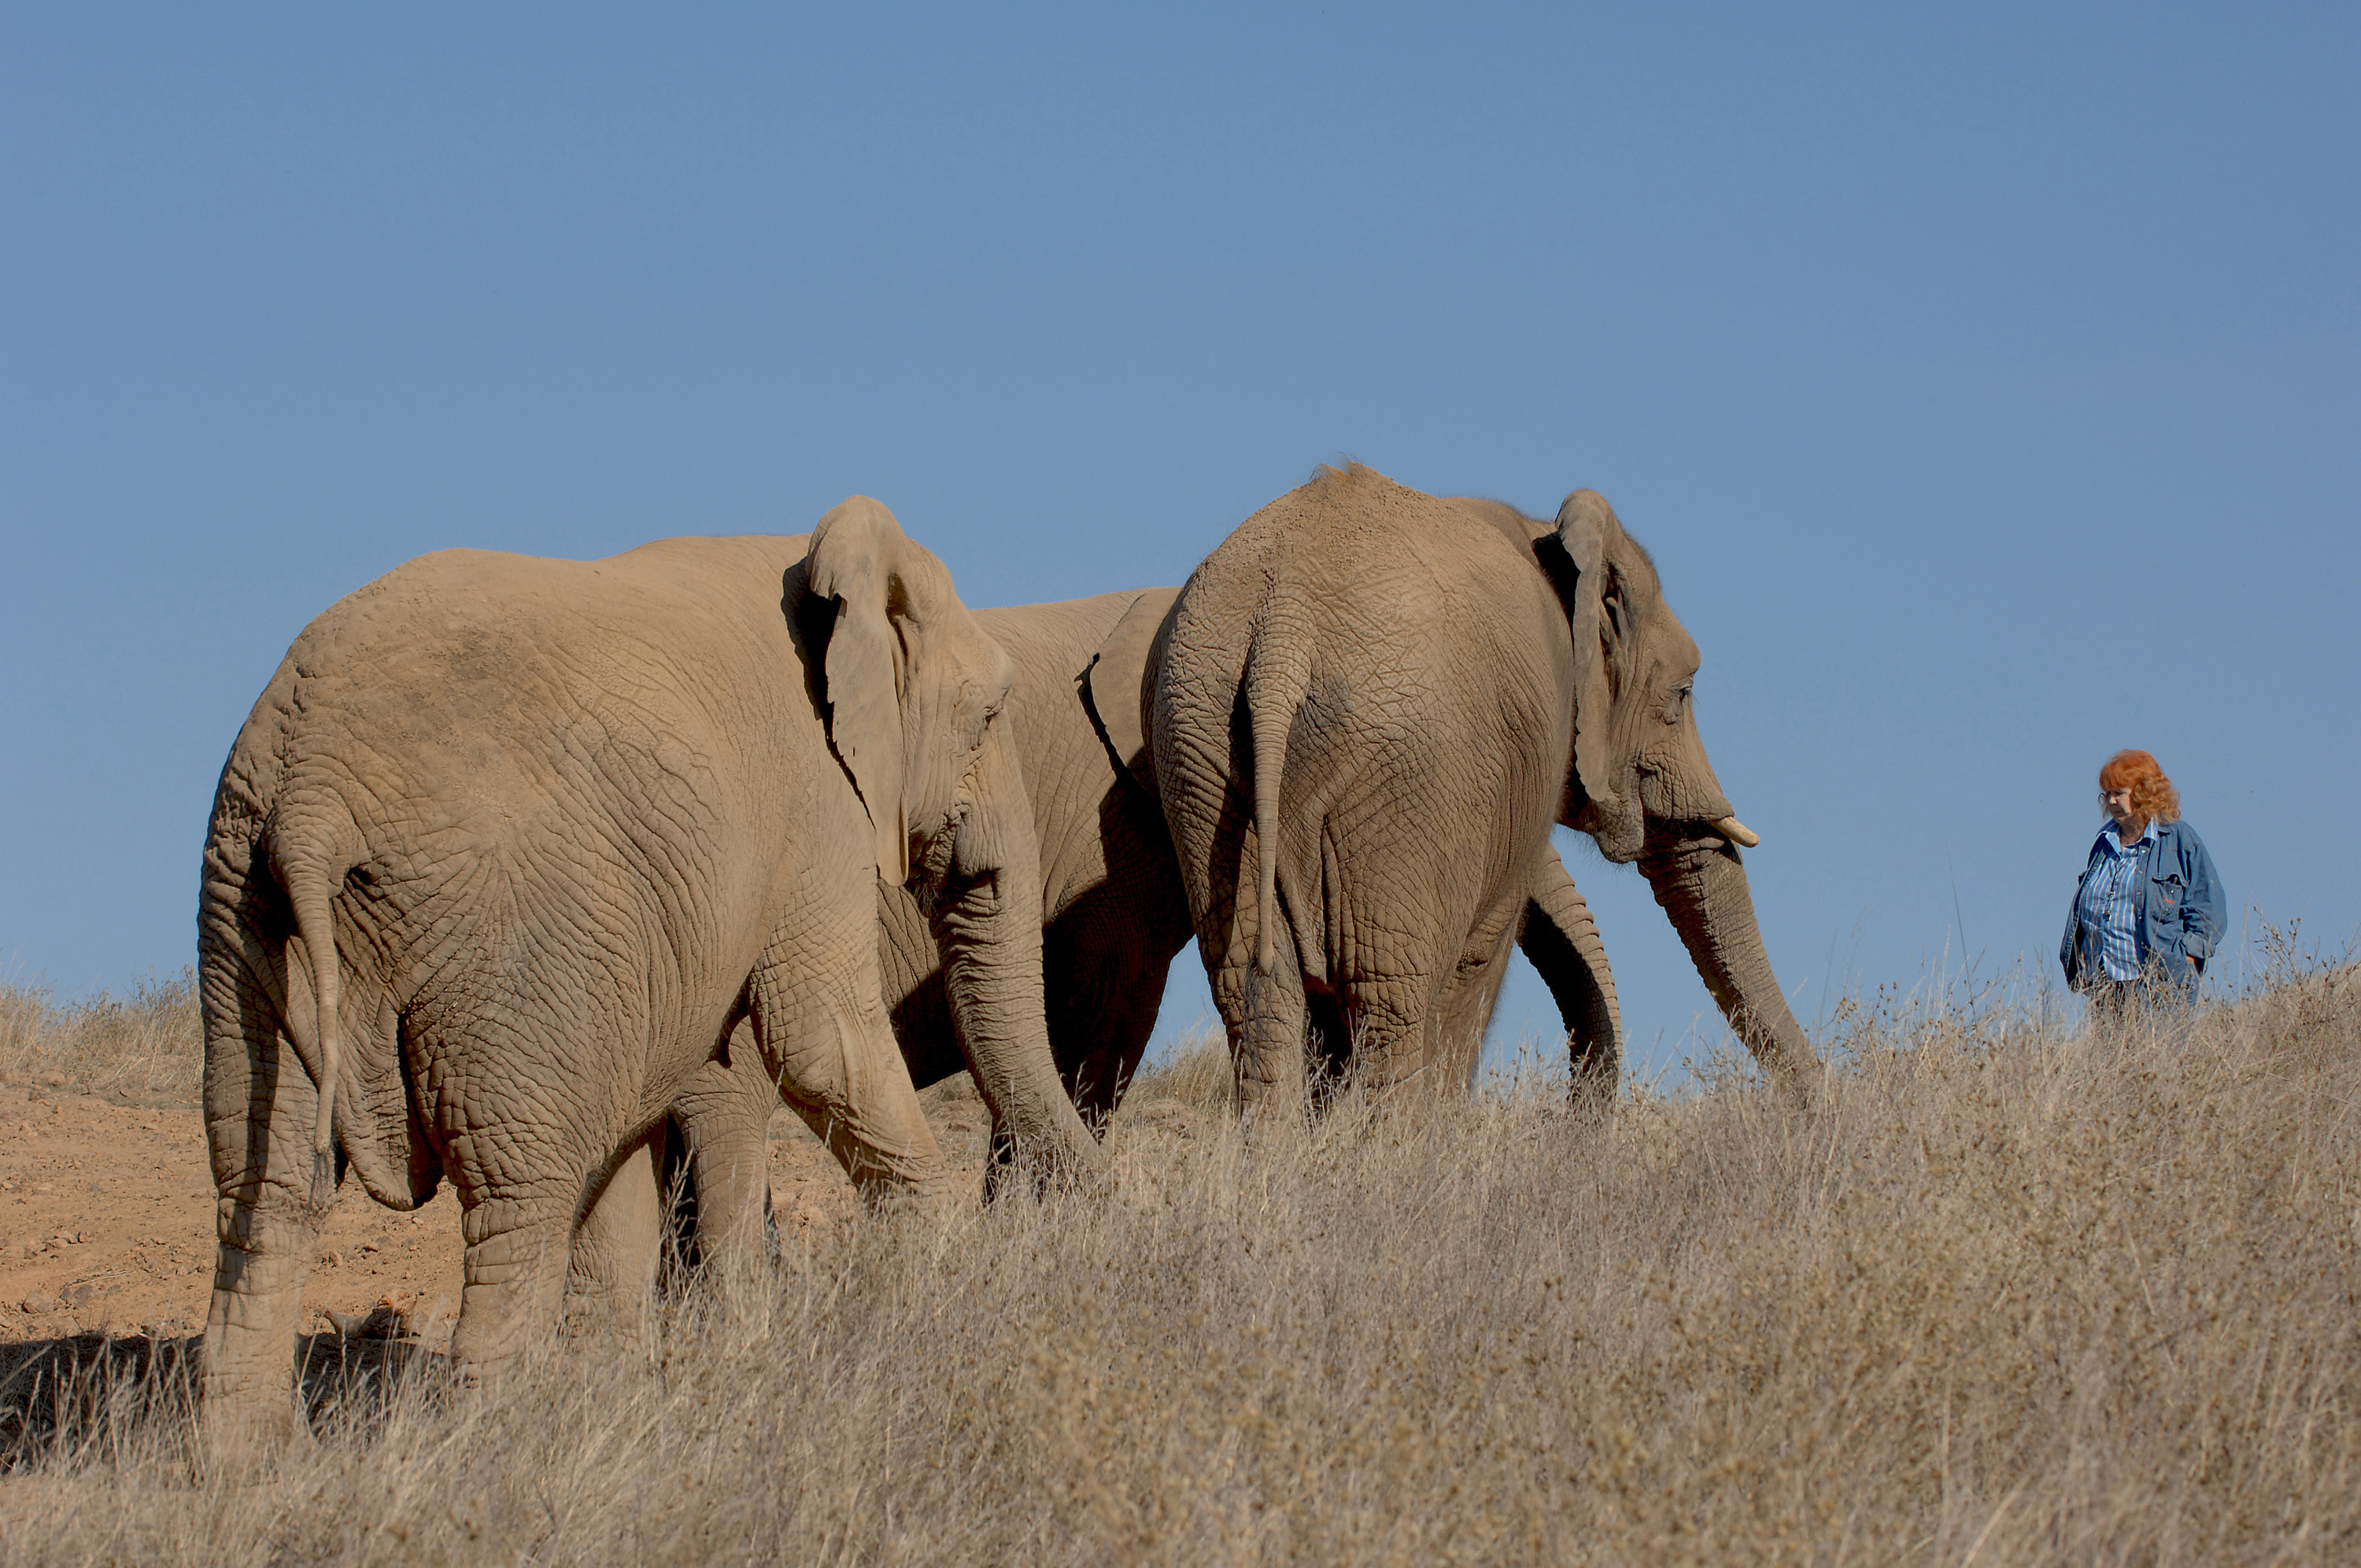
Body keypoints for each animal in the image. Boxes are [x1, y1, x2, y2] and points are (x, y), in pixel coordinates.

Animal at [195, 499, 1102, 1438]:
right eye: (990, 716)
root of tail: (313, 801)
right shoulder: (813, 799)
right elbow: (821, 1039)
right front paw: (946, 1288)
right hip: (504, 939)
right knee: (517, 1196)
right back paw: (495, 1447)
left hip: (245, 908)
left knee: (265, 1186)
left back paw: (250, 1462)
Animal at [1145, 462, 1815, 1117]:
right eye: (1681, 694)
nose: (1817, 1099)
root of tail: (1283, 634)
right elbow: (1481, 955)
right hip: (1410, 773)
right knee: (1392, 993)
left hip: (1200, 749)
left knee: (1260, 995)